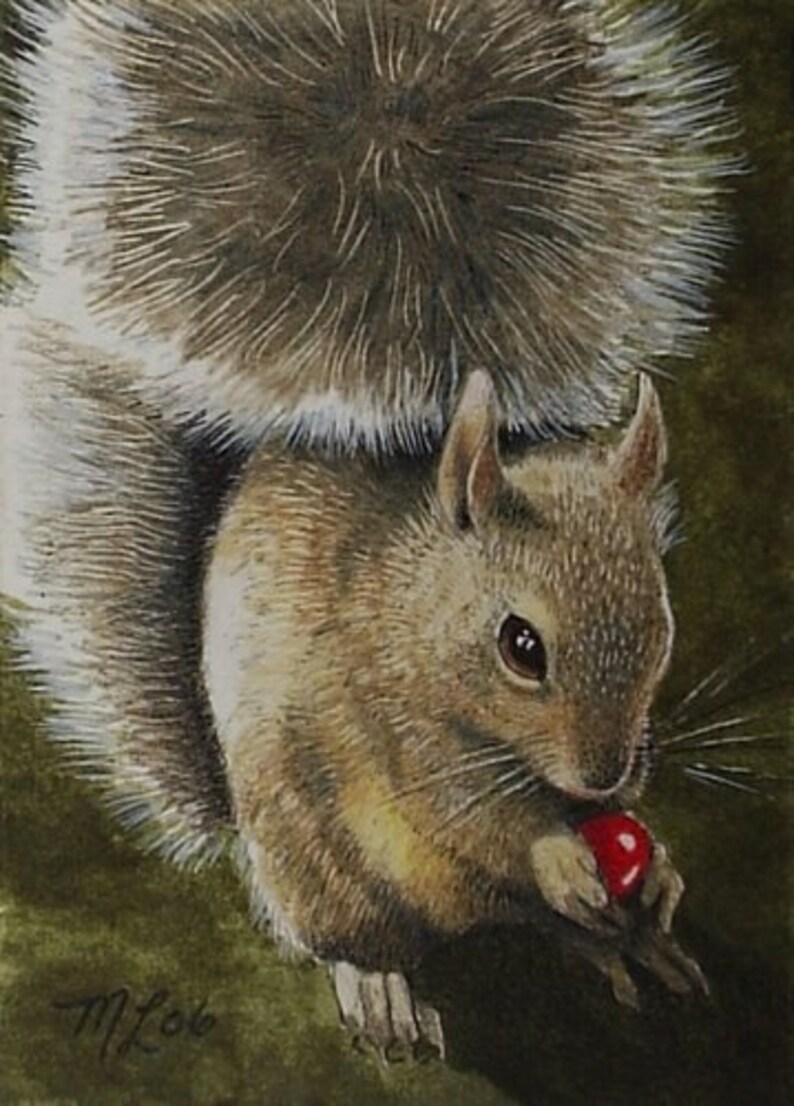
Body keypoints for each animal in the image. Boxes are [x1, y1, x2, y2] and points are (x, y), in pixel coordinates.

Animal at [2, 0, 730, 1058]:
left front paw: (657, 868)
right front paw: (558, 855)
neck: (414, 605)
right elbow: (471, 818)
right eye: (521, 645)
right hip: (320, 863)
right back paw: (386, 987)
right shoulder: (385, 721)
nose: (603, 781)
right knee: (370, 931)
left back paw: (636, 948)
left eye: (660, 621)